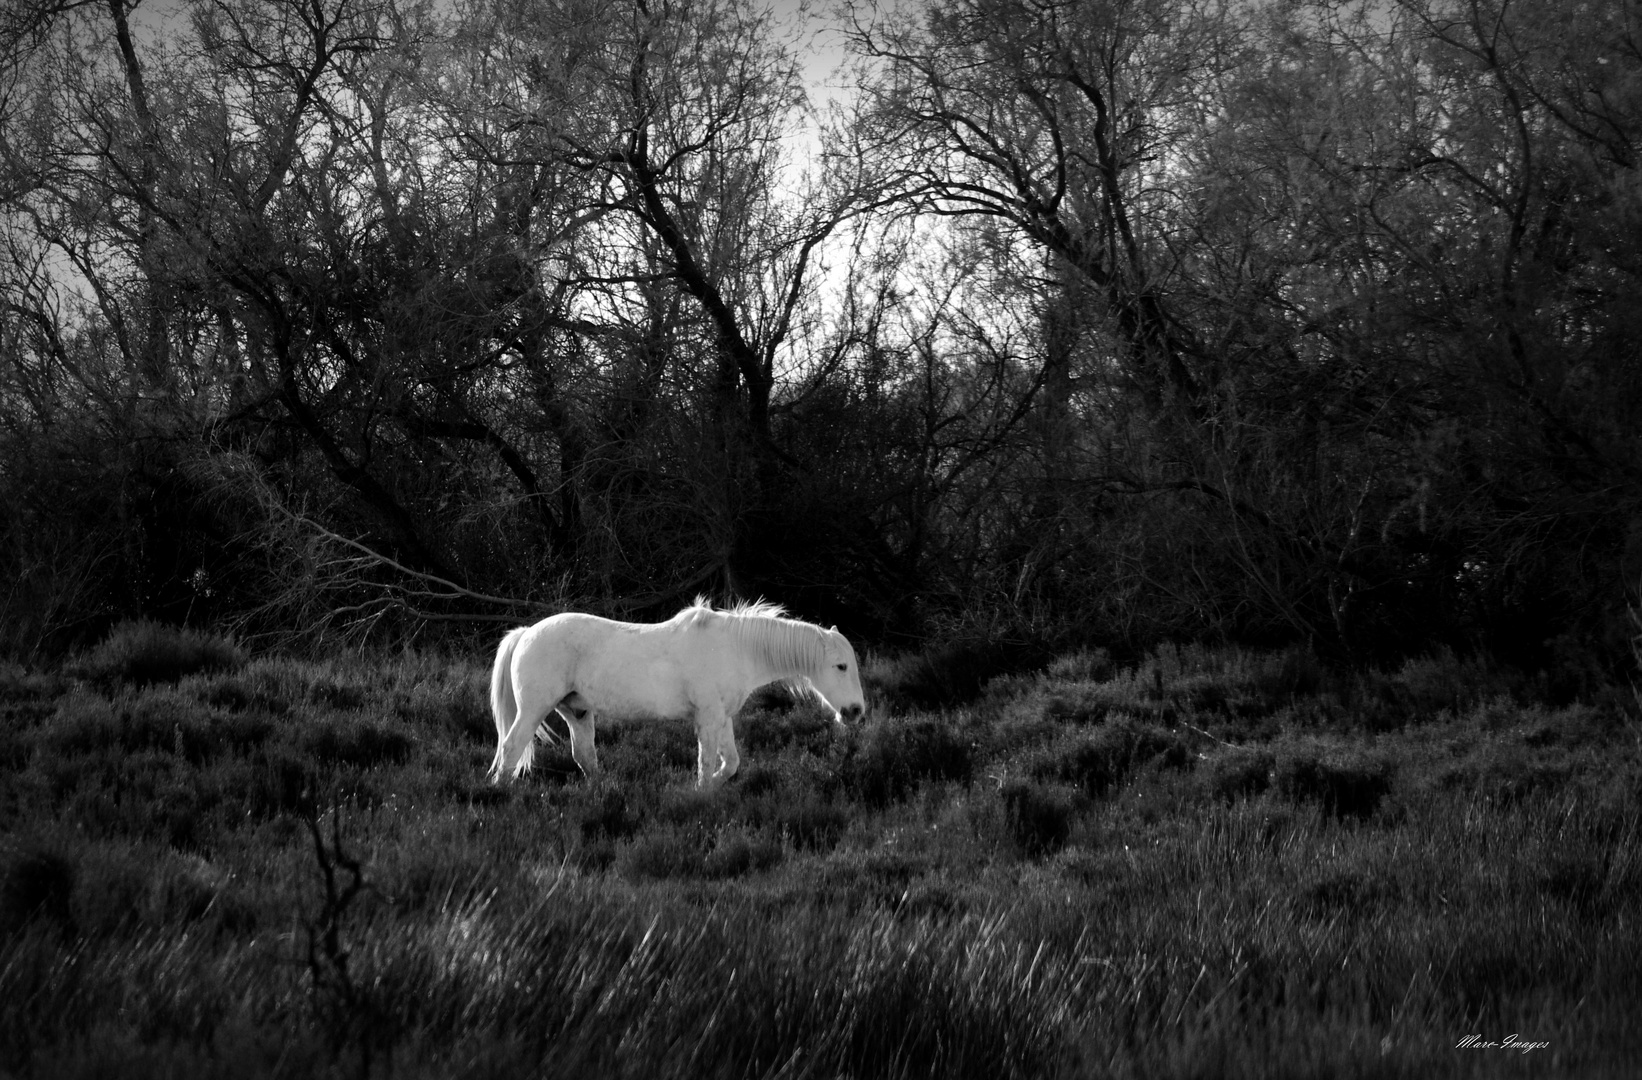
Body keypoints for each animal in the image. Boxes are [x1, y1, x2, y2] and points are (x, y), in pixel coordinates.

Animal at [487, 597, 867, 789]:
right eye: (841, 666)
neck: (735, 647)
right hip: (534, 708)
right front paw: (700, 796)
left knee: (584, 757)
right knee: (511, 748)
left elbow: (730, 763)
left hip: (577, 711)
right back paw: (502, 795)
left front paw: (709, 790)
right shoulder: (708, 719)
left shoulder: (722, 718)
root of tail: (525, 633)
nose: (855, 711)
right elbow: (707, 762)